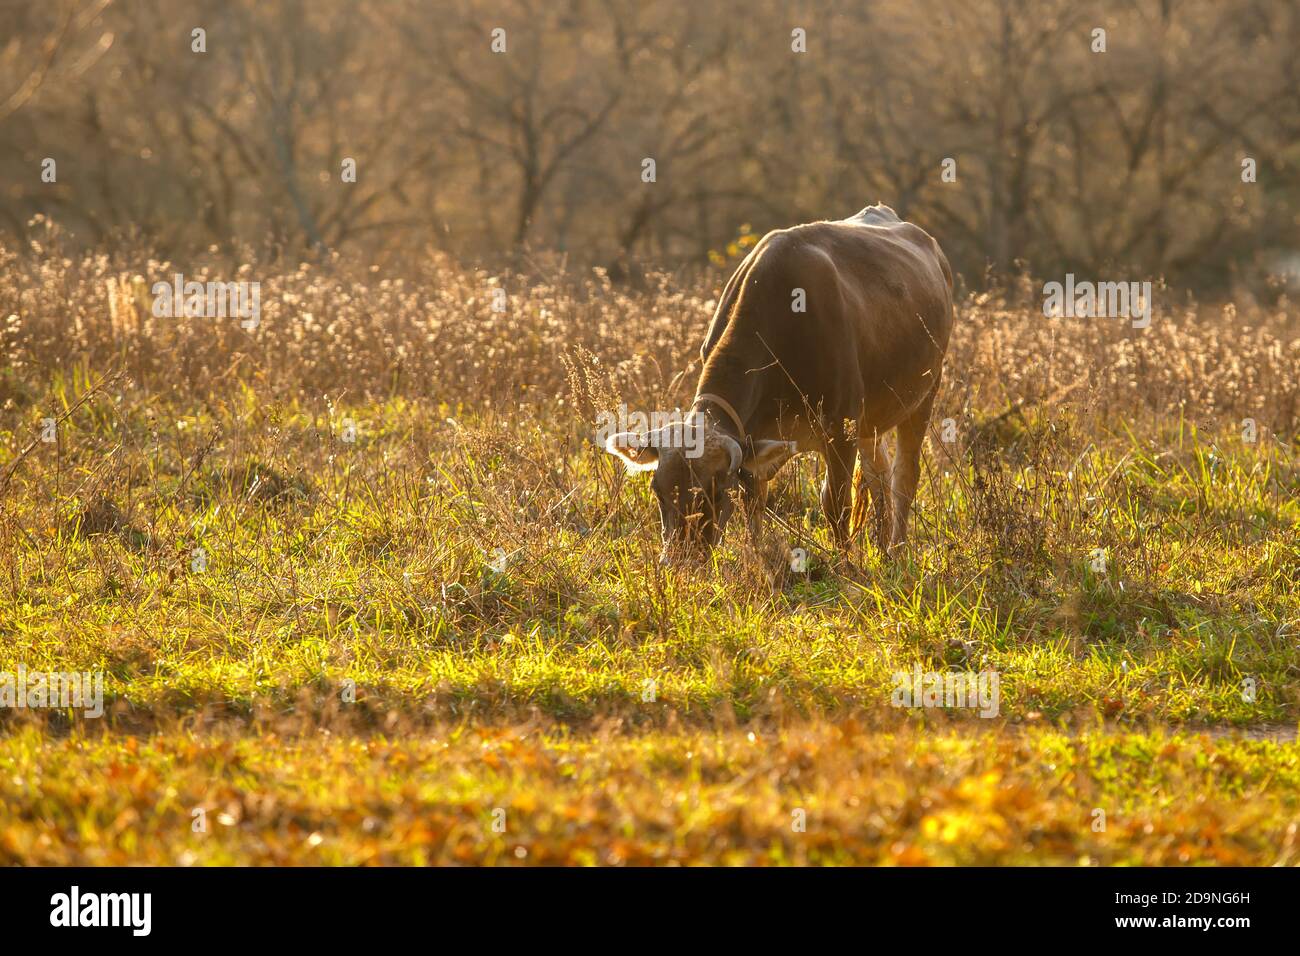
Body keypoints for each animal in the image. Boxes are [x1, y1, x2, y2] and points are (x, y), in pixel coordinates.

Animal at [605, 204, 954, 560]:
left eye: (714, 491)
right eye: (658, 491)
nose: (678, 560)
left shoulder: (840, 428)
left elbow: (835, 504)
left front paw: (846, 565)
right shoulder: (756, 440)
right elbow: (753, 503)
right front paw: (756, 557)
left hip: (924, 394)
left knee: (904, 478)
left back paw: (897, 550)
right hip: (871, 416)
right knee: (878, 474)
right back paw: (883, 549)